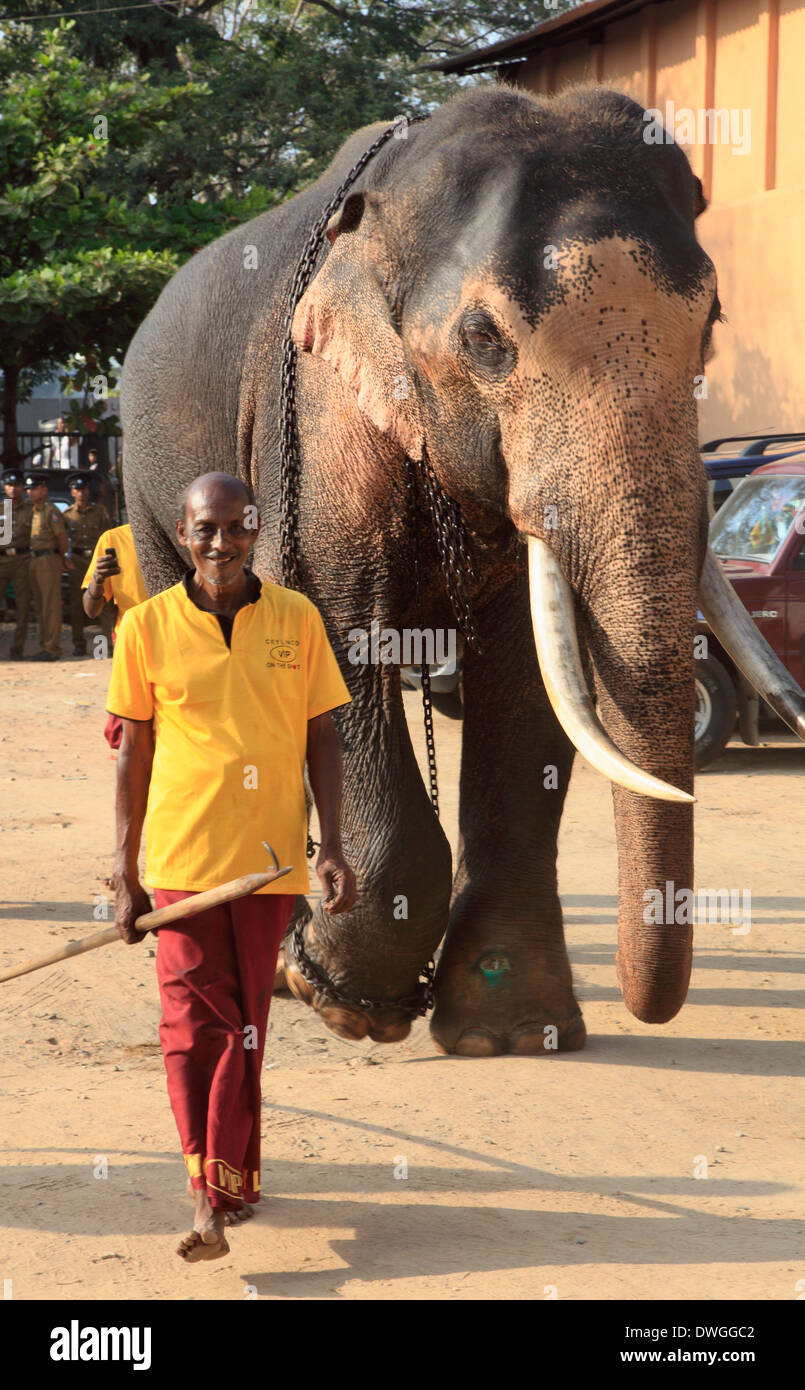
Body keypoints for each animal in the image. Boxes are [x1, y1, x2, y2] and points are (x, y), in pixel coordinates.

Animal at [120, 83, 805, 1056]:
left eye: (709, 324)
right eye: (483, 338)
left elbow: (528, 676)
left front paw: (506, 1031)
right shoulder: (323, 412)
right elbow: (339, 626)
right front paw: (351, 1001)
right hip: (146, 485)